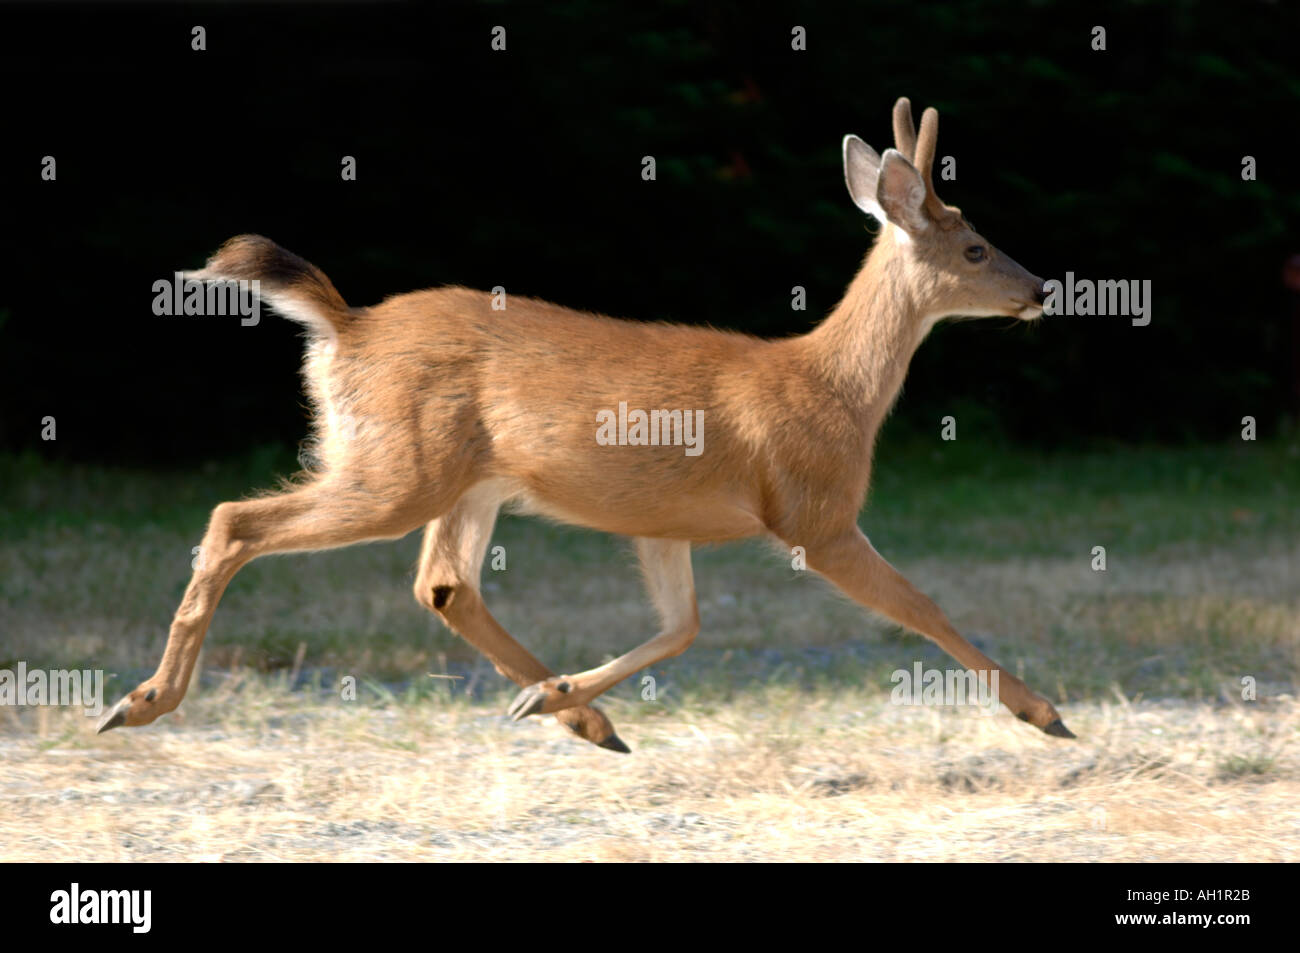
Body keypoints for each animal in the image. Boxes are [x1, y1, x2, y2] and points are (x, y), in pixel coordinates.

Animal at [97, 97, 1073, 750]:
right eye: (976, 247)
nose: (1040, 289)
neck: (832, 385)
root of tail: (346, 325)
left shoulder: (667, 522)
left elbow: (684, 626)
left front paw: (559, 695)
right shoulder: (814, 513)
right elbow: (922, 604)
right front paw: (1046, 713)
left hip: (462, 478)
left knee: (443, 584)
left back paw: (581, 716)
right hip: (395, 468)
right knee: (237, 519)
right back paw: (142, 701)